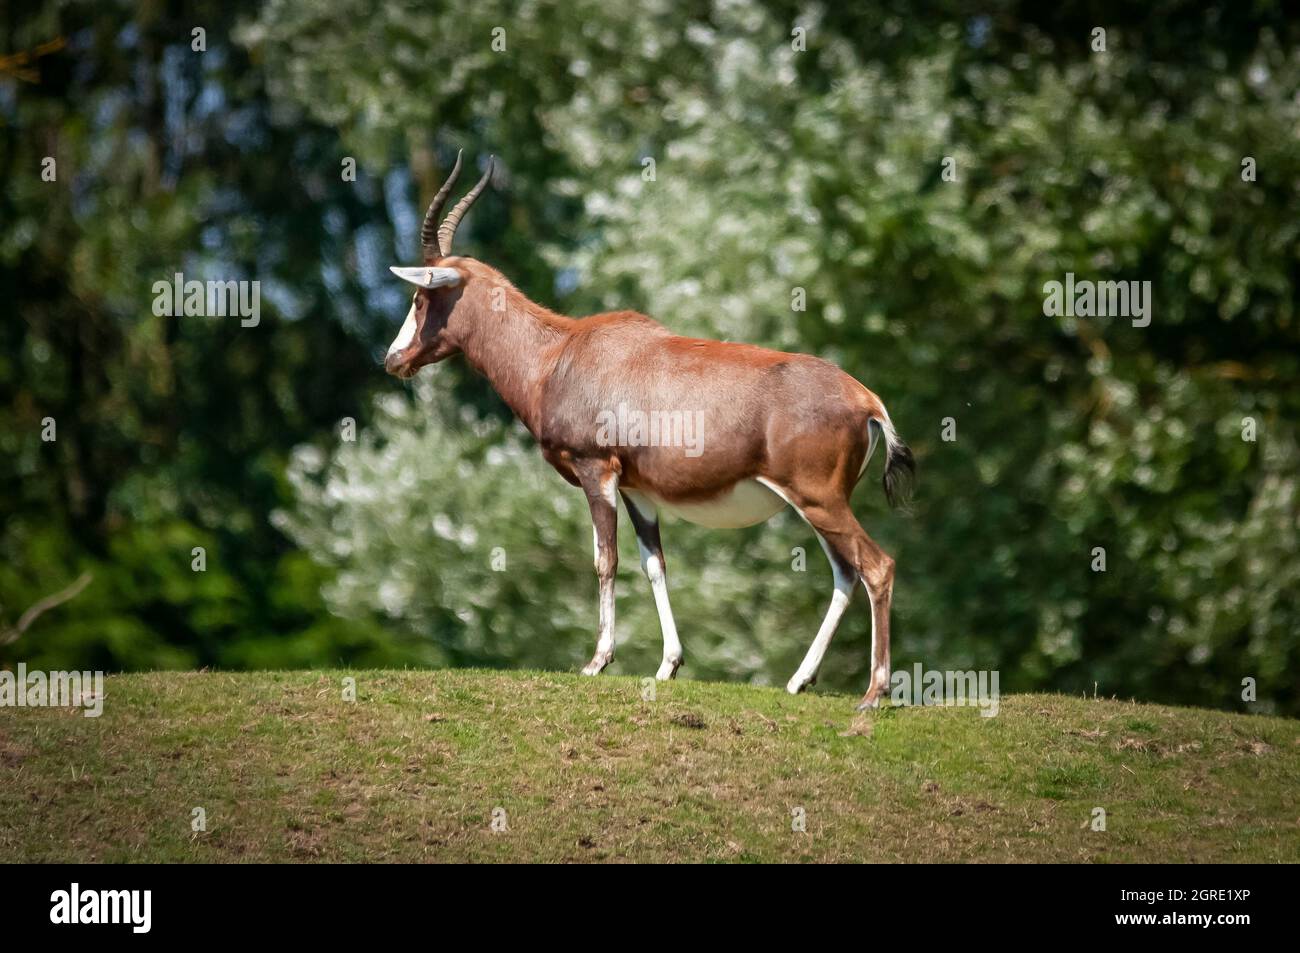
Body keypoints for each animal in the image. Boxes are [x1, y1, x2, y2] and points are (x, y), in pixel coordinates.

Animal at [385, 152, 915, 709]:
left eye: (420, 297)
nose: (393, 359)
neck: (558, 354)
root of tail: (866, 401)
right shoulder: (638, 490)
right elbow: (654, 564)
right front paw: (668, 666)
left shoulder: (596, 471)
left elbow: (606, 560)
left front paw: (597, 662)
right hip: (817, 506)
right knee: (845, 573)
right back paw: (798, 680)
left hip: (818, 500)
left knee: (876, 567)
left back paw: (873, 693)